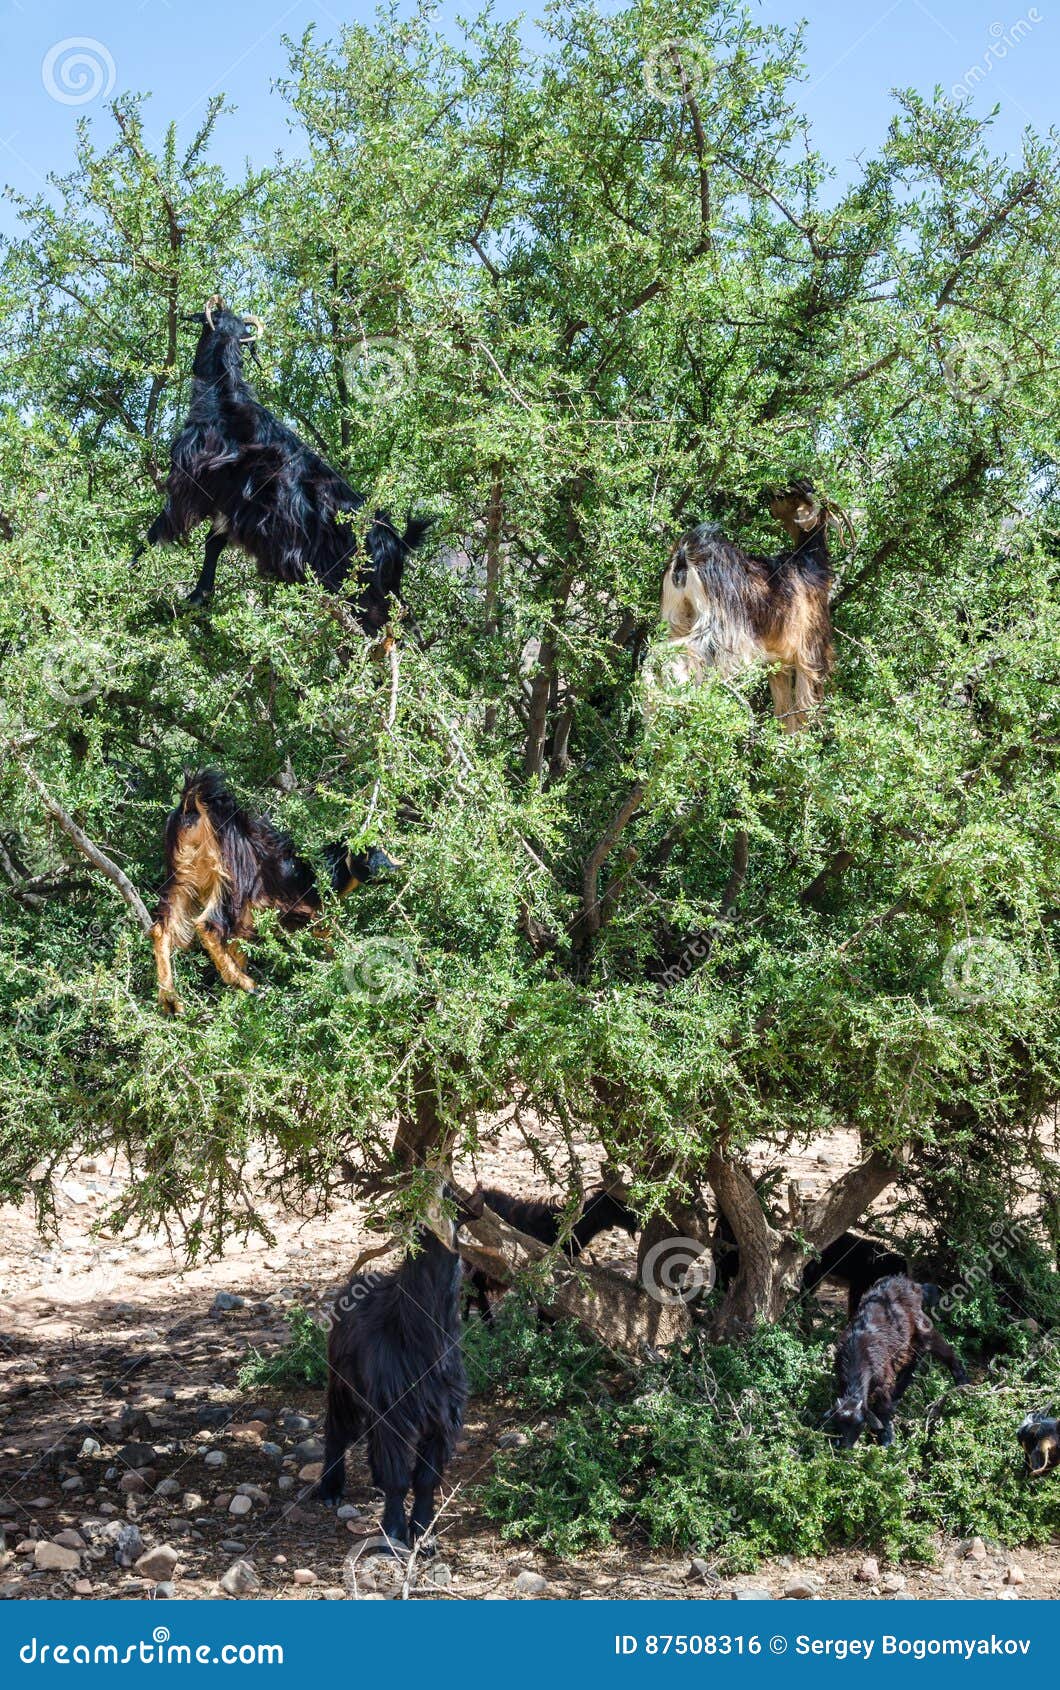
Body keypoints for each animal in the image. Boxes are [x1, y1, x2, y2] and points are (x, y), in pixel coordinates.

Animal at [137, 296, 431, 627]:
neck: (222, 399)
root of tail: (397, 542)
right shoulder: (229, 506)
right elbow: (213, 545)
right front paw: (198, 597)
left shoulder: (190, 487)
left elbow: (156, 532)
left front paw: (127, 571)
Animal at [152, 769, 389, 1013]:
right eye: (373, 852)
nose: (393, 869)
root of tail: (195, 804)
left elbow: (239, 948)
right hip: (233, 878)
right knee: (207, 924)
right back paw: (244, 983)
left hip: (181, 873)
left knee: (162, 928)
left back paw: (170, 998)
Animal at [315, 1185, 480, 1551]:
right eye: (414, 1218)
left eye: (458, 1211)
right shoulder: (394, 1410)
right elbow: (399, 1477)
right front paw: (393, 1530)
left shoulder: (442, 1418)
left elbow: (425, 1479)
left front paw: (424, 1534)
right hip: (341, 1386)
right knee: (336, 1430)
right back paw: (330, 1489)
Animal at [659, 479, 852, 730]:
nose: (770, 497)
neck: (807, 566)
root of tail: (684, 556)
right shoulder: (810, 650)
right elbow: (804, 706)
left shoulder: (778, 660)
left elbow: (784, 710)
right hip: (723, 628)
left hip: (678, 616)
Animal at [825, 1275, 968, 1448]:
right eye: (838, 1424)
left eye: (859, 1424)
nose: (845, 1447)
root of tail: (912, 1285)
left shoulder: (883, 1382)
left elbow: (882, 1409)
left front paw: (886, 1439)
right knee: (914, 1360)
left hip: (924, 1328)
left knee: (944, 1350)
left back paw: (963, 1383)